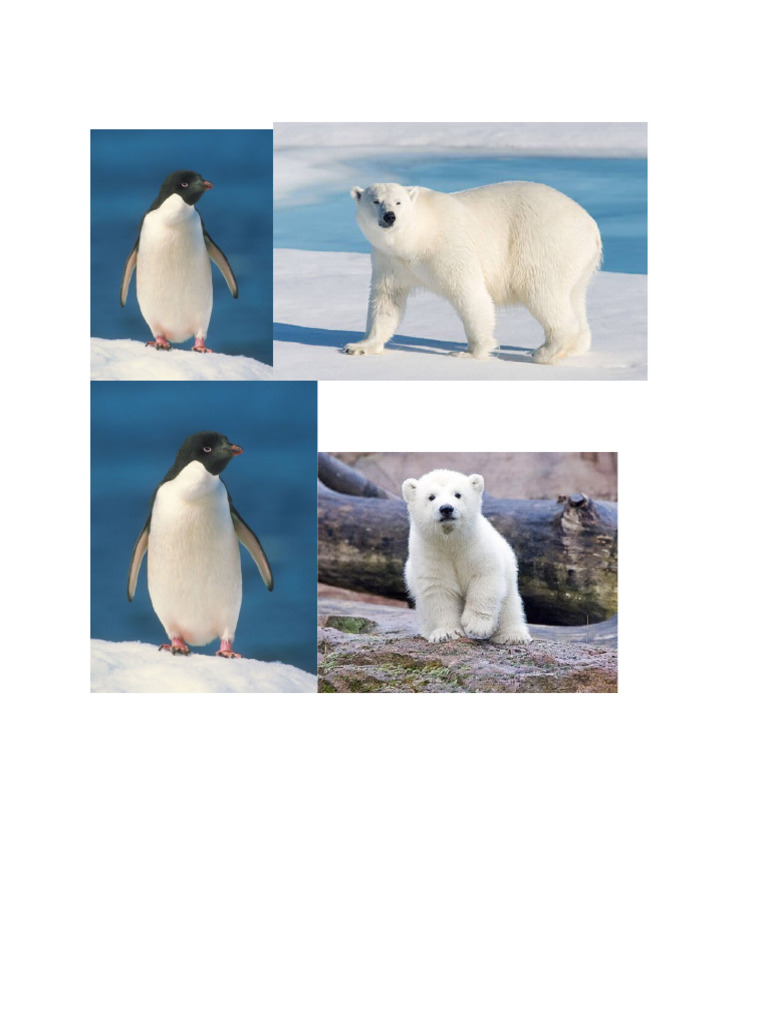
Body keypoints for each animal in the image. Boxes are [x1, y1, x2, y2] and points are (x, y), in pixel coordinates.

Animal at [345, 181, 602, 364]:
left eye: (398, 203)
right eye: (375, 201)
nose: (389, 216)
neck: (417, 238)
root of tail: (591, 225)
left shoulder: (448, 247)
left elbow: (470, 294)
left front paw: (470, 352)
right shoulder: (389, 260)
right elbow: (386, 301)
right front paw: (359, 346)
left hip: (544, 244)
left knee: (542, 292)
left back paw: (545, 351)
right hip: (578, 261)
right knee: (574, 297)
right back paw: (575, 346)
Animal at [402, 469, 531, 645]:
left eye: (458, 494)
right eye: (431, 497)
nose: (446, 509)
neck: (451, 540)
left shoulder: (477, 547)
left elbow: (484, 579)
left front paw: (476, 625)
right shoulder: (430, 553)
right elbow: (439, 590)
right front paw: (446, 633)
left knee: (509, 607)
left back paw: (513, 635)